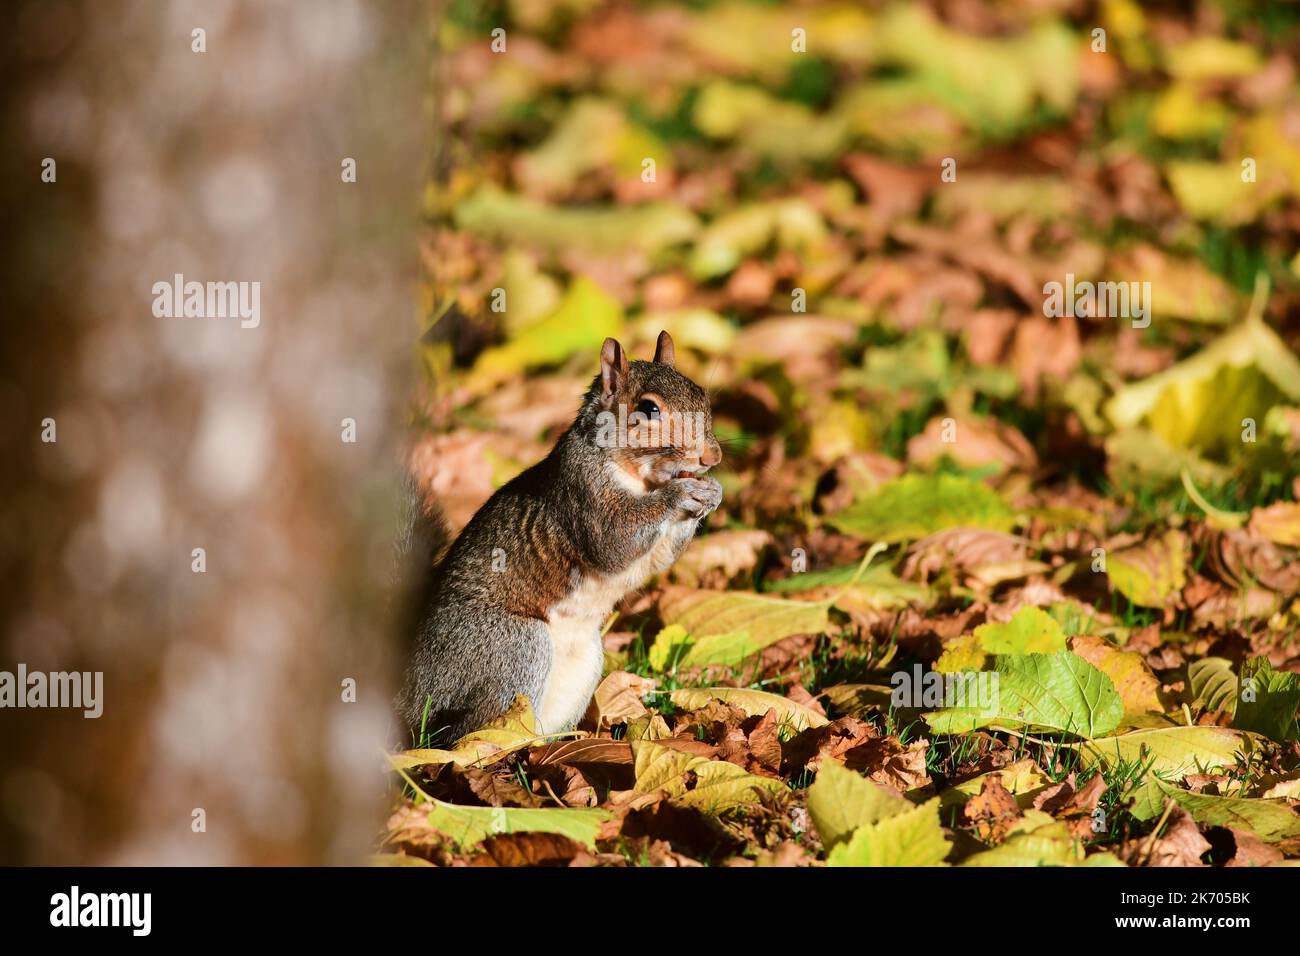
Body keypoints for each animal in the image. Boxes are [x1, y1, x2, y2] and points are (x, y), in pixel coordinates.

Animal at [398, 331, 723, 743]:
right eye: (649, 410)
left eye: (703, 397)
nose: (711, 457)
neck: (640, 476)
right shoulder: (582, 492)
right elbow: (614, 542)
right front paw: (678, 495)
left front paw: (712, 492)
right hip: (512, 647)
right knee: (464, 731)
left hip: (585, 661)